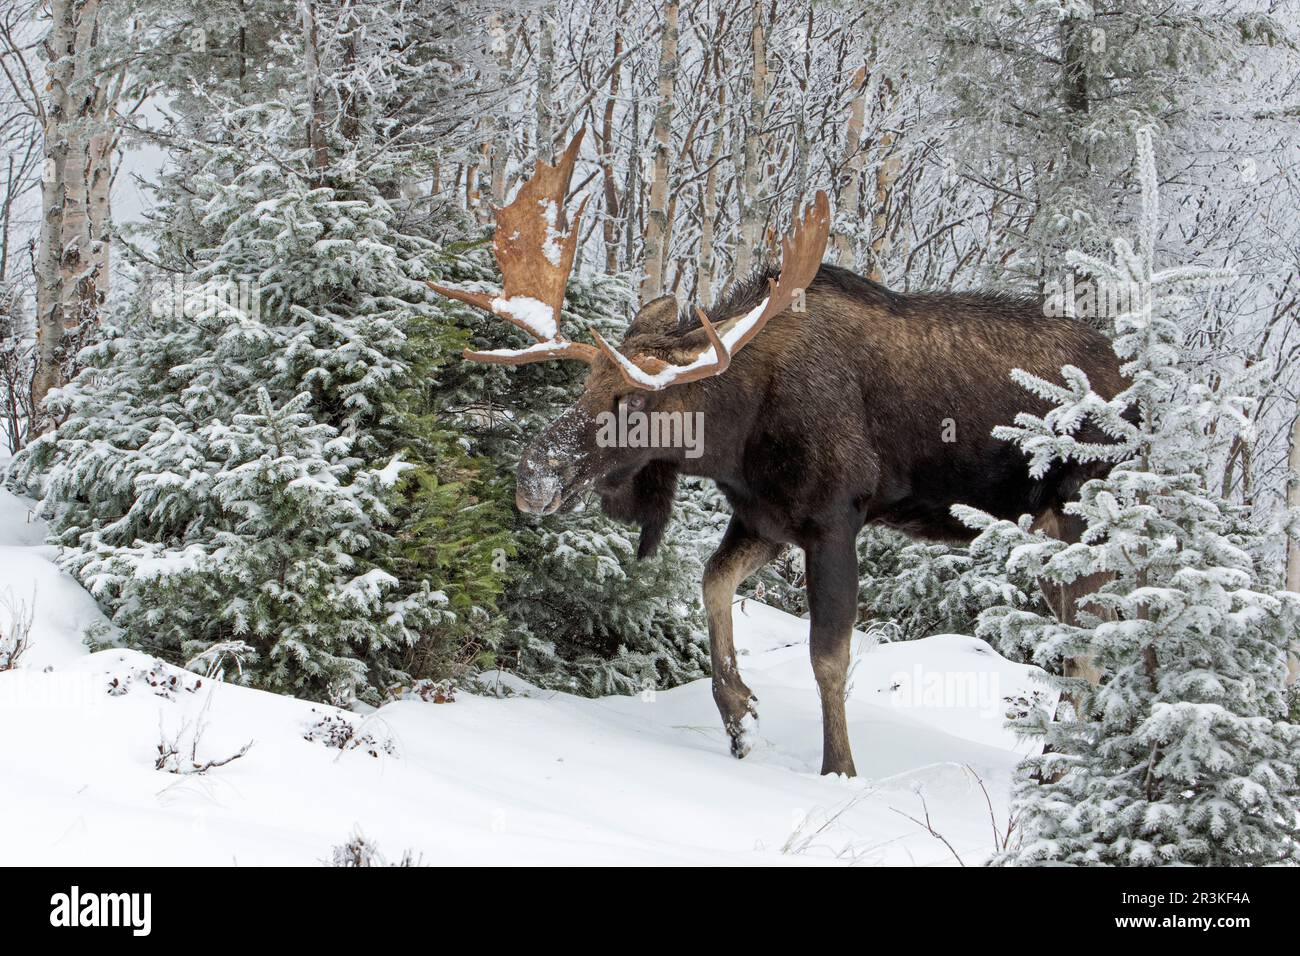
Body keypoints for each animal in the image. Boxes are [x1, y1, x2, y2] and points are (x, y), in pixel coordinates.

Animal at [428, 132, 1125, 777]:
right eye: (584, 386)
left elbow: (828, 656)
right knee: (1080, 644)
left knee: (1093, 645)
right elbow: (712, 582)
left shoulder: (834, 519)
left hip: (1083, 516)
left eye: (637, 399)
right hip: (1047, 534)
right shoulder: (765, 518)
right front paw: (739, 713)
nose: (533, 477)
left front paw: (839, 768)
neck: (736, 437)